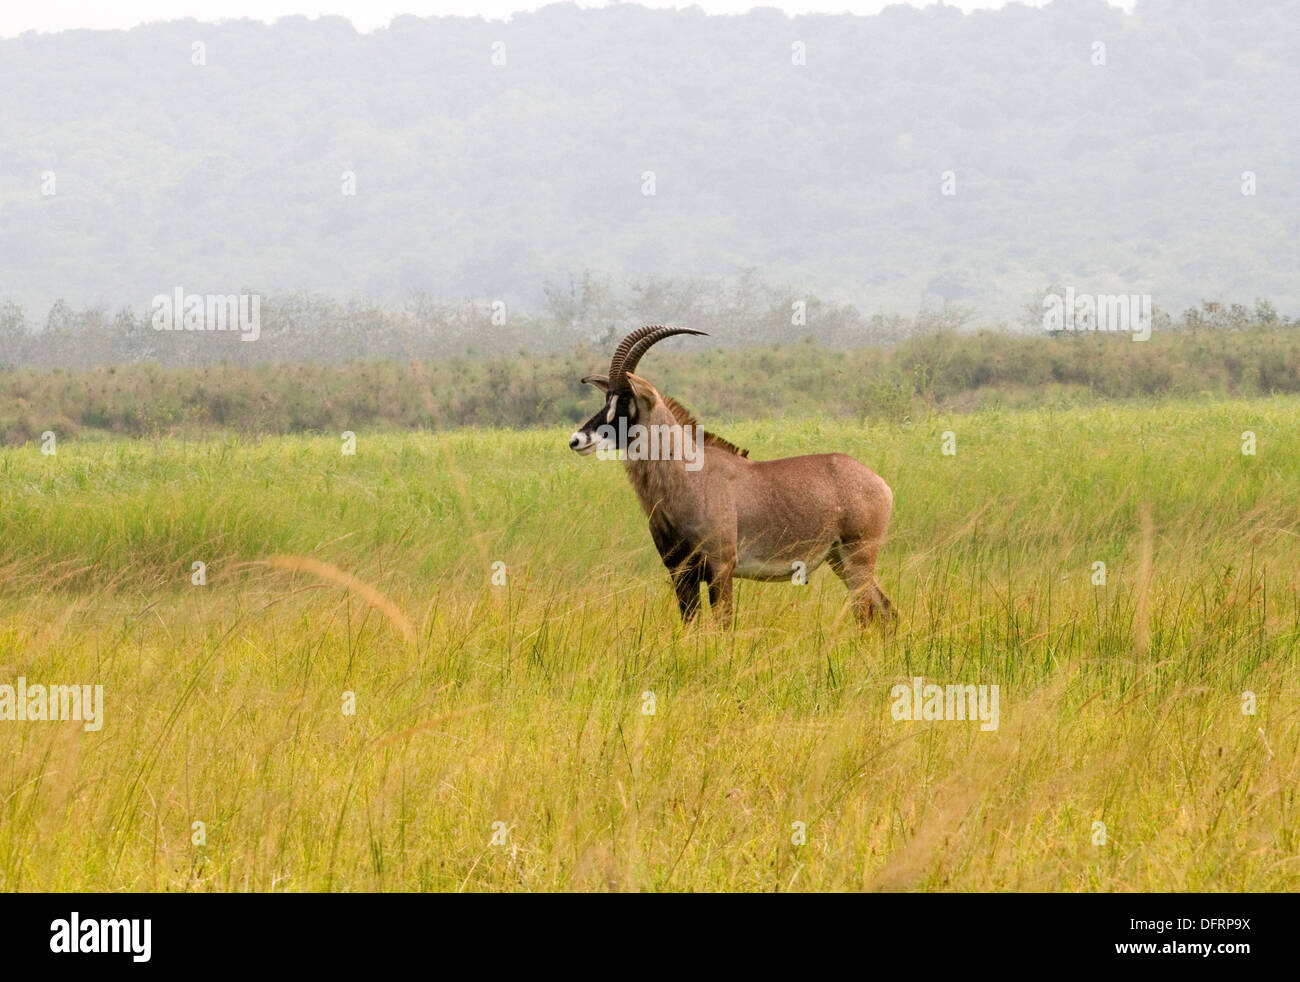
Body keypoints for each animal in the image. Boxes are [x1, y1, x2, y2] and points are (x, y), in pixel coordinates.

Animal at [569, 326, 895, 628]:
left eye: (625, 400)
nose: (576, 440)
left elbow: (721, 626)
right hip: (839, 561)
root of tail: (879, 483)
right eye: (607, 398)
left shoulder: (720, 568)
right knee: (886, 611)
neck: (692, 475)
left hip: (858, 558)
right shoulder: (680, 572)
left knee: (867, 614)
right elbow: (691, 625)